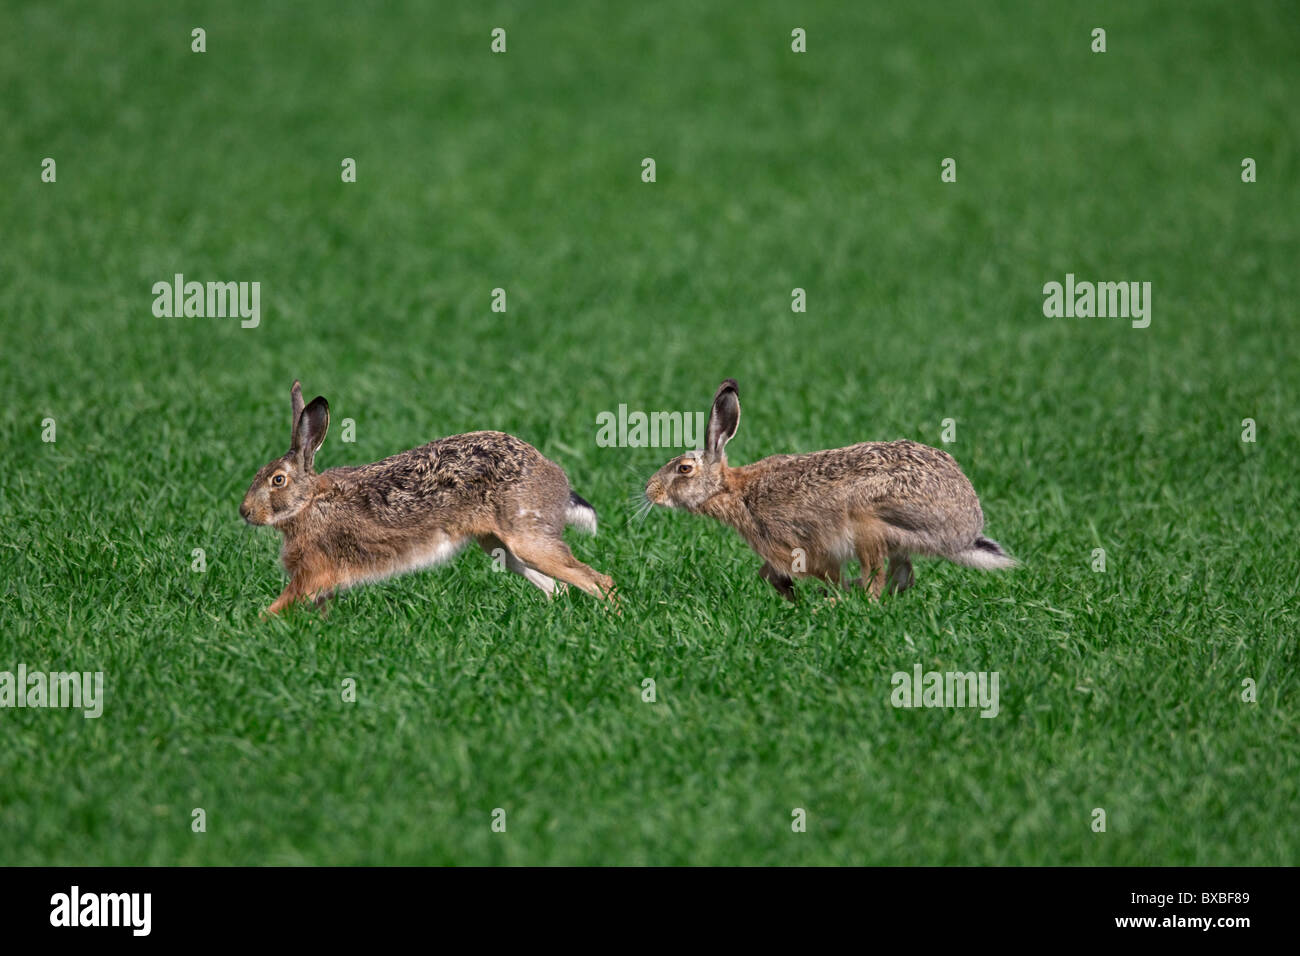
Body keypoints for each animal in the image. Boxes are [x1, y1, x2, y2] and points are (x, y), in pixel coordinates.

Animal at [240, 380, 616, 615]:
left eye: (277, 480)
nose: (245, 512)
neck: (308, 502)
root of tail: (553, 475)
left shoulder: (313, 574)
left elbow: (280, 605)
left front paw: (257, 623)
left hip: (528, 539)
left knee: (599, 581)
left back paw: (615, 618)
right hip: (501, 547)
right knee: (558, 588)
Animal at [643, 379, 1015, 600]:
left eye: (684, 469)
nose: (650, 491)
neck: (734, 490)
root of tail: (964, 529)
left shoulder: (797, 547)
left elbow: (821, 571)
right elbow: (769, 574)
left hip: (870, 520)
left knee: (877, 581)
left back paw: (845, 599)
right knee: (902, 576)